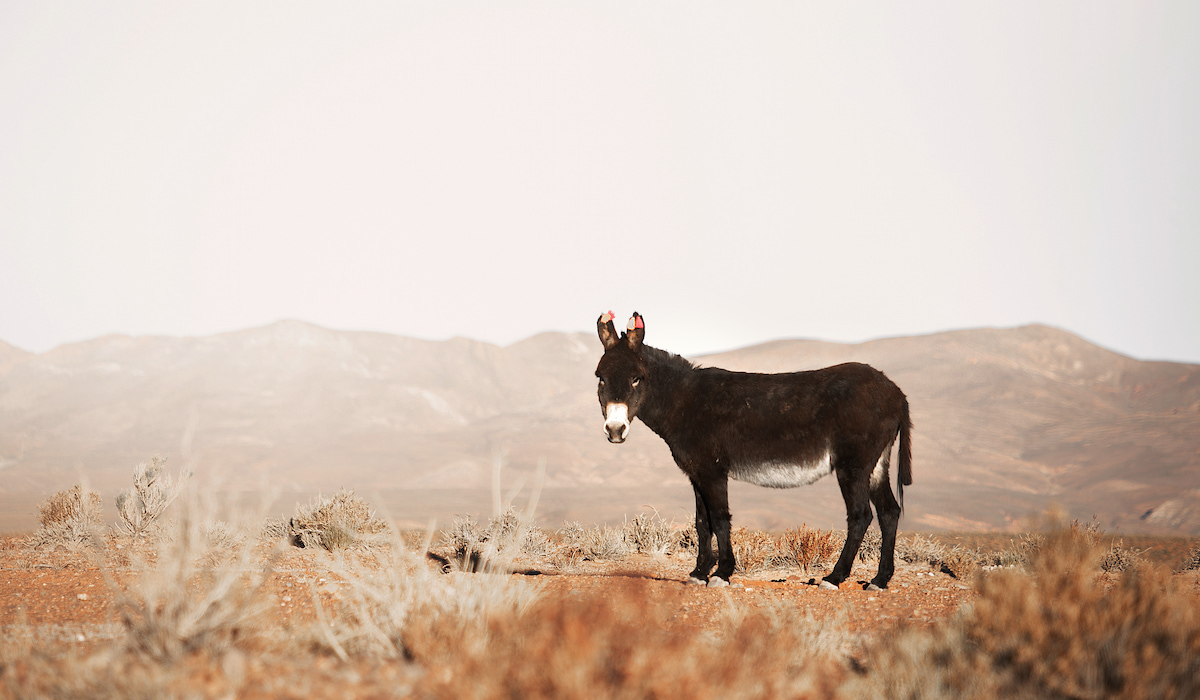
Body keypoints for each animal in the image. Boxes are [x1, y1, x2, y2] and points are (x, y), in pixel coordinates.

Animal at [595, 311, 912, 590]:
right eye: (601, 378)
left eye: (636, 378)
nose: (615, 430)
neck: (684, 401)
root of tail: (895, 391)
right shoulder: (696, 472)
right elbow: (701, 522)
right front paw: (699, 573)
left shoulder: (713, 471)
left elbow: (719, 518)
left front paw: (722, 574)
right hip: (877, 463)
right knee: (889, 512)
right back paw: (879, 580)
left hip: (853, 464)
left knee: (860, 515)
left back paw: (834, 578)